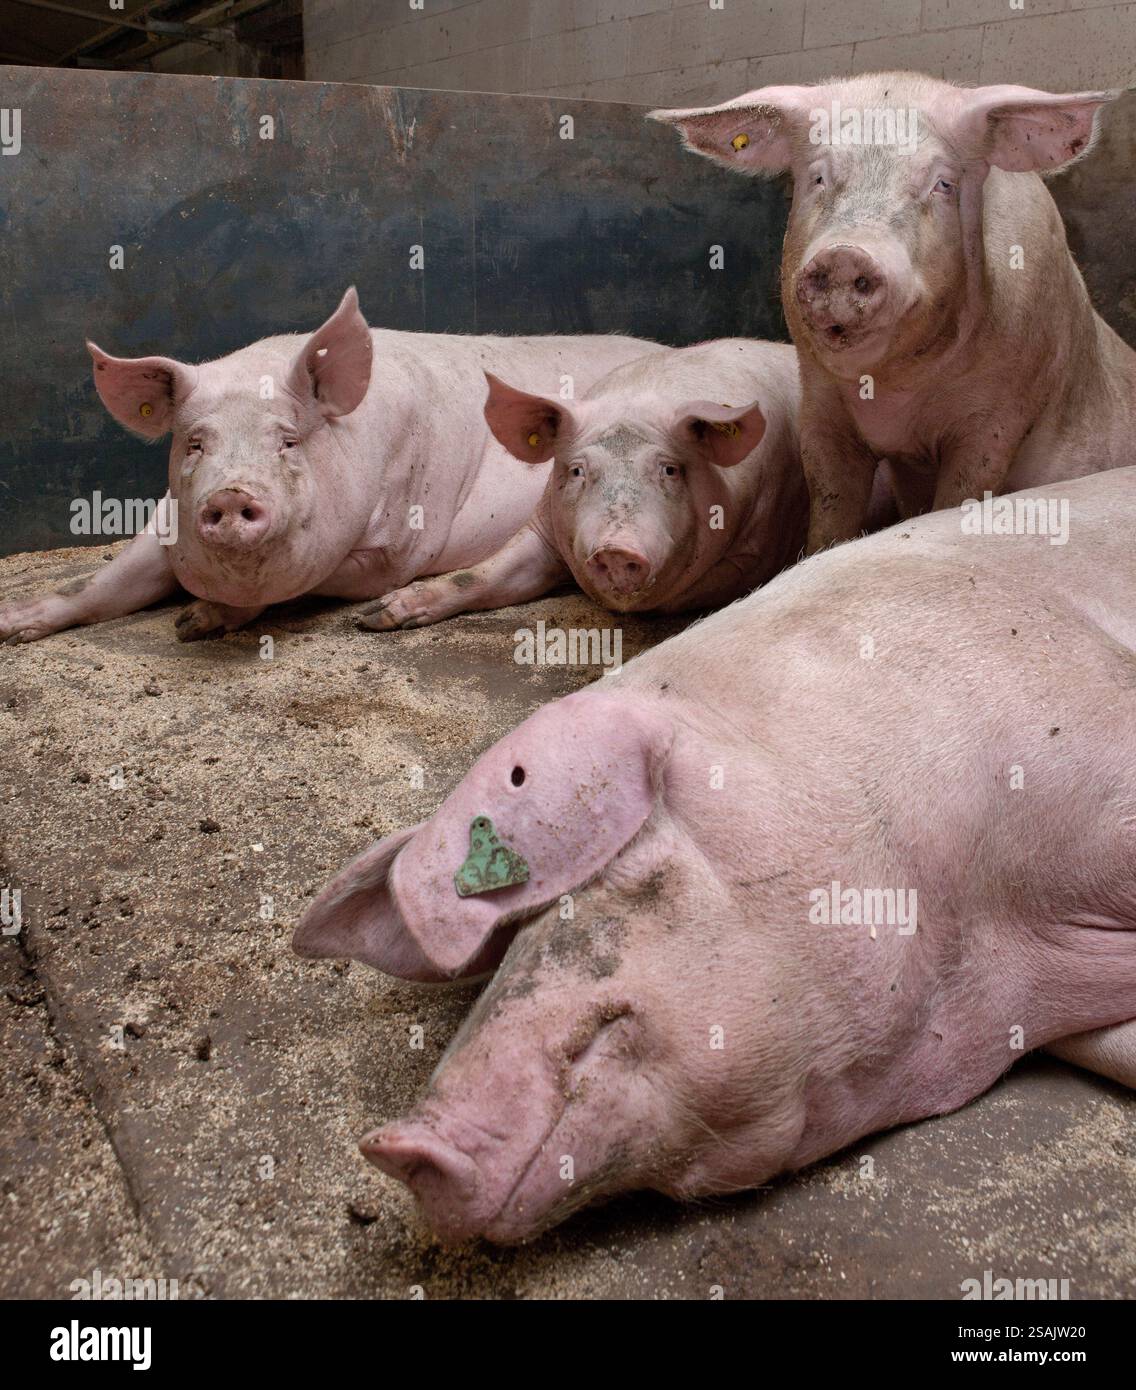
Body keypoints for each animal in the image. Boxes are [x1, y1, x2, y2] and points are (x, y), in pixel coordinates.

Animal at [0, 289, 652, 644]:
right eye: (195, 444)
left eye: (287, 441)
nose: (230, 494)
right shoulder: (162, 523)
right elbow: (98, 582)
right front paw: (12, 623)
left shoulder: (397, 544)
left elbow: (306, 582)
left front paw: (192, 620)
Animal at [355, 339, 808, 629]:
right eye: (577, 471)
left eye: (669, 470)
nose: (616, 548)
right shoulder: (543, 526)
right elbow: (480, 576)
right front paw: (374, 617)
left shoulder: (755, 548)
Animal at [649, 74, 1136, 553]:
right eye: (818, 177)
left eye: (943, 184)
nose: (845, 256)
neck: (894, 400)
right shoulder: (821, 410)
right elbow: (830, 510)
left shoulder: (997, 419)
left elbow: (960, 496)